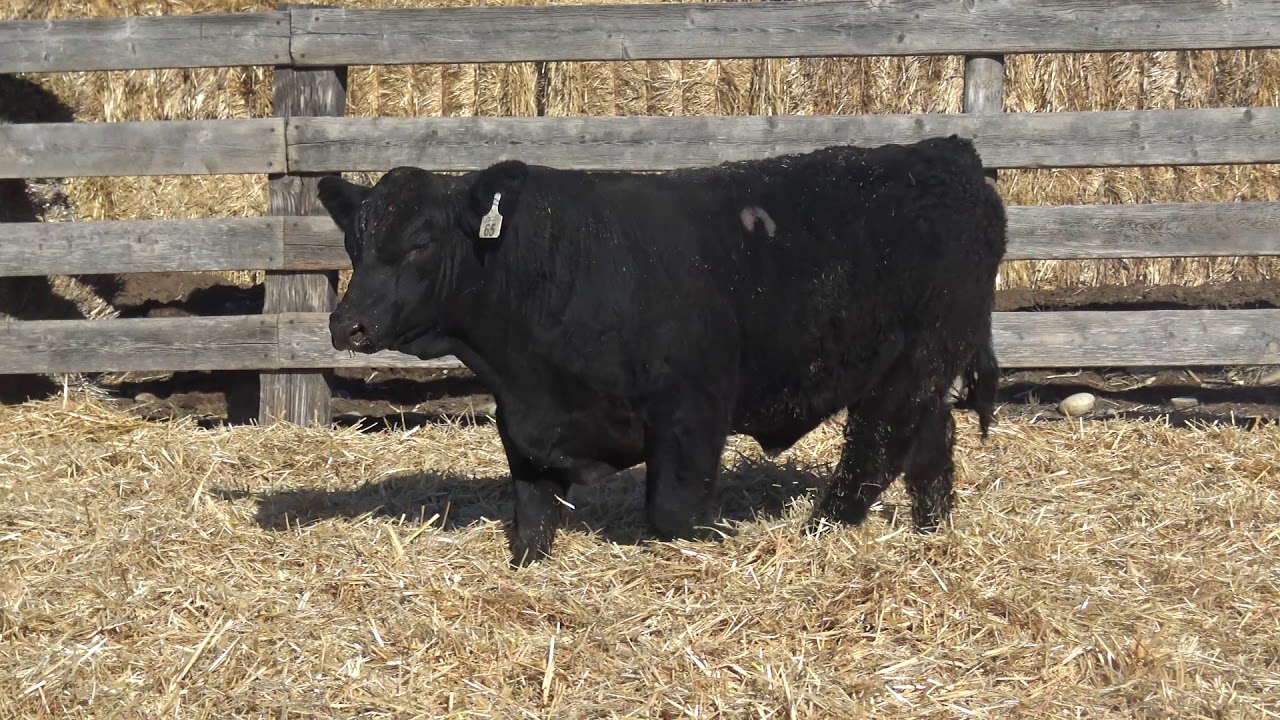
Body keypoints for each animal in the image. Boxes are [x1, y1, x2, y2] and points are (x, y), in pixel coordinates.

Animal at [317, 135, 1008, 567]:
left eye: (420, 243)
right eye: (353, 244)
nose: (347, 326)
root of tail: (948, 152)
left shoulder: (692, 410)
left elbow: (672, 513)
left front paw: (719, 536)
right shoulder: (525, 426)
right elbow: (530, 525)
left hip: (916, 360)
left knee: (876, 447)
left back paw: (824, 527)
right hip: (916, 368)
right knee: (929, 440)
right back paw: (931, 531)